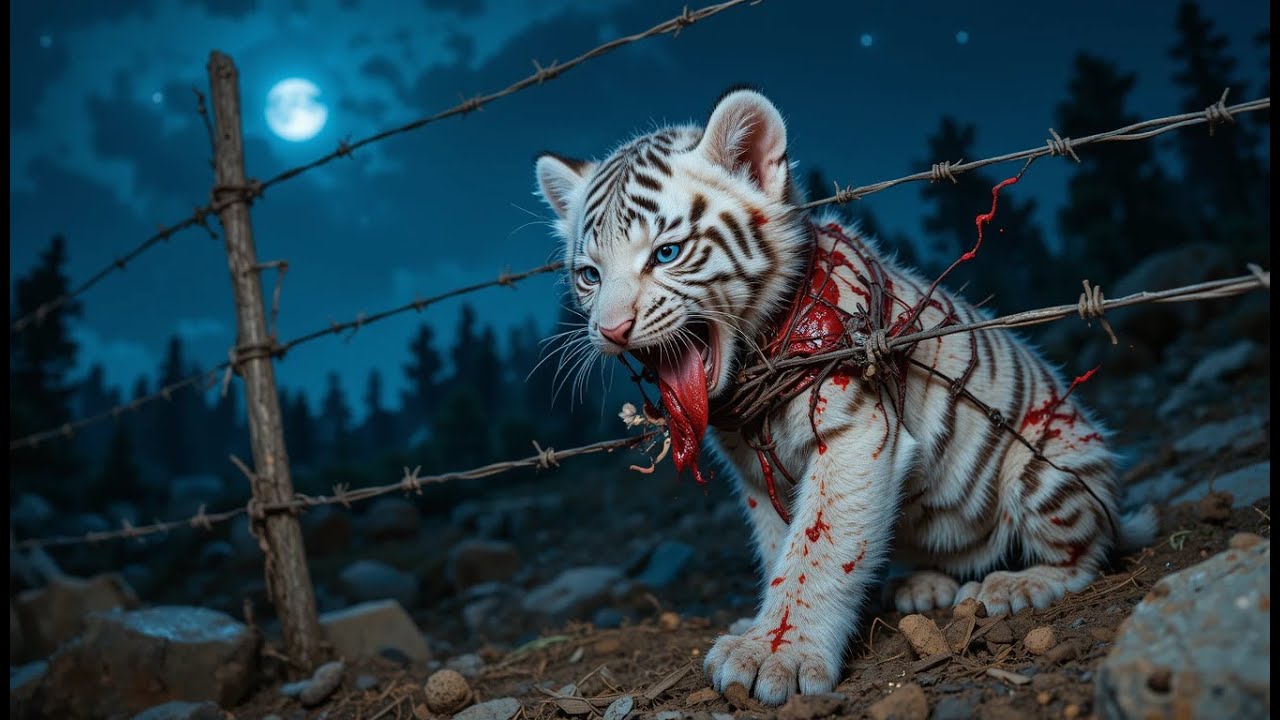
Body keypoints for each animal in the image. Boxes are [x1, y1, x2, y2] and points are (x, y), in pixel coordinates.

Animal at [533, 87, 1156, 705]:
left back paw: (1014, 585)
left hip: (1045, 469)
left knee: (1087, 554)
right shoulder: (755, 473)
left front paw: (775, 653)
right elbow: (778, 546)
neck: (755, 357)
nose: (610, 330)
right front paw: (758, 626)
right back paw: (923, 585)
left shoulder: (857, 432)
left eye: (667, 253)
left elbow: (818, 550)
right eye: (589, 275)